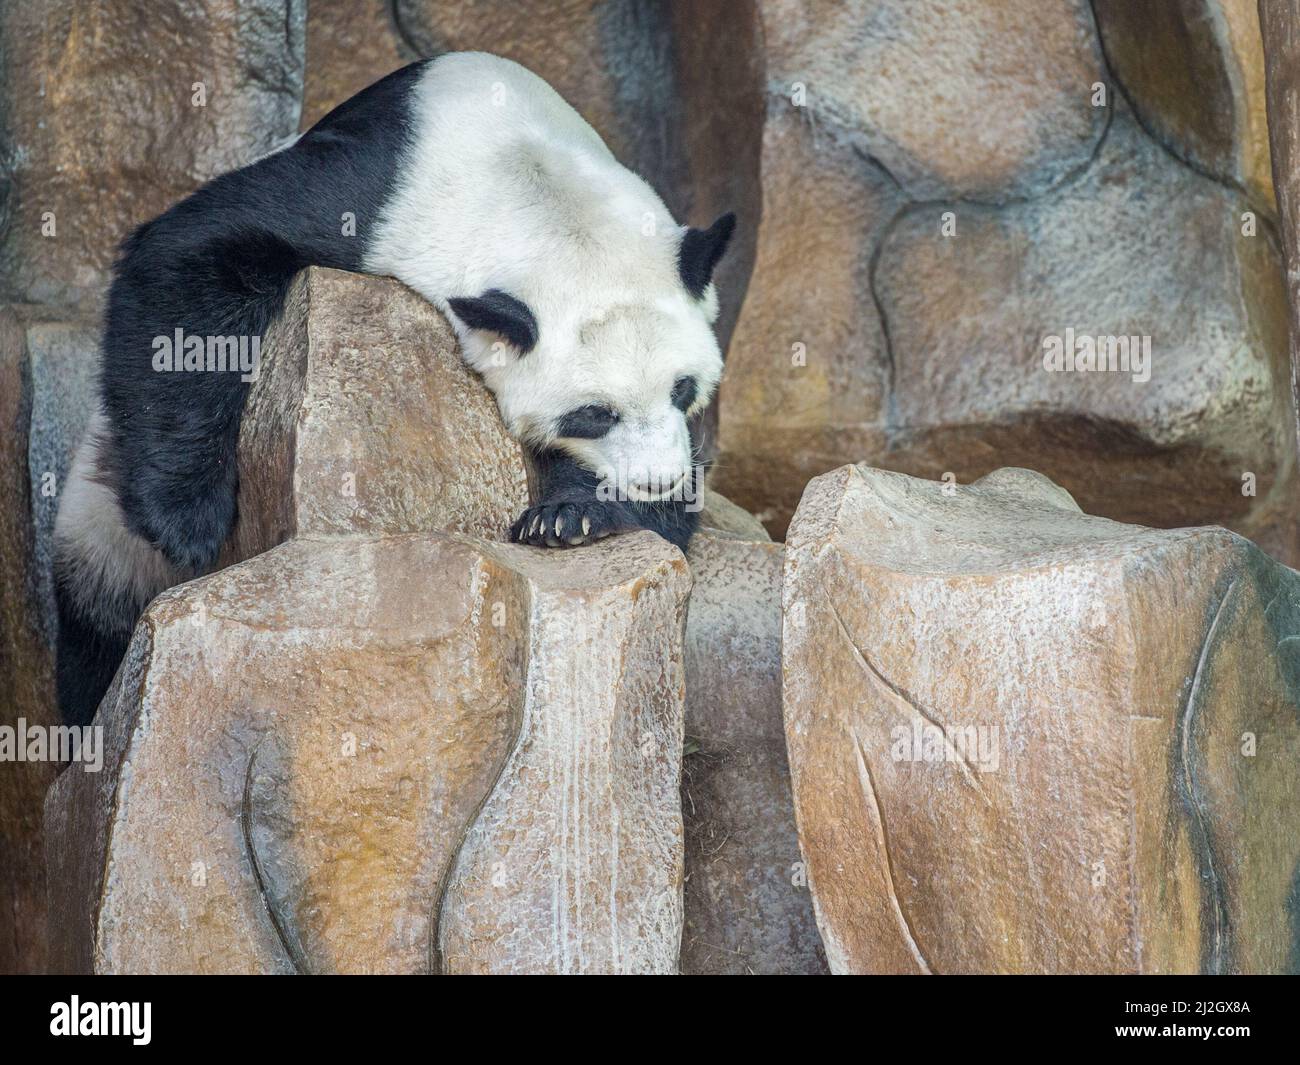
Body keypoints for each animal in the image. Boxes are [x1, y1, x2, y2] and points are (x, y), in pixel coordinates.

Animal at [52, 52, 736, 727]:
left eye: (683, 389)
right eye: (593, 414)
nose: (655, 480)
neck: (535, 189)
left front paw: (571, 515)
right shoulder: (378, 198)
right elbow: (190, 255)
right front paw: (187, 518)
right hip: (98, 515)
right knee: (97, 605)